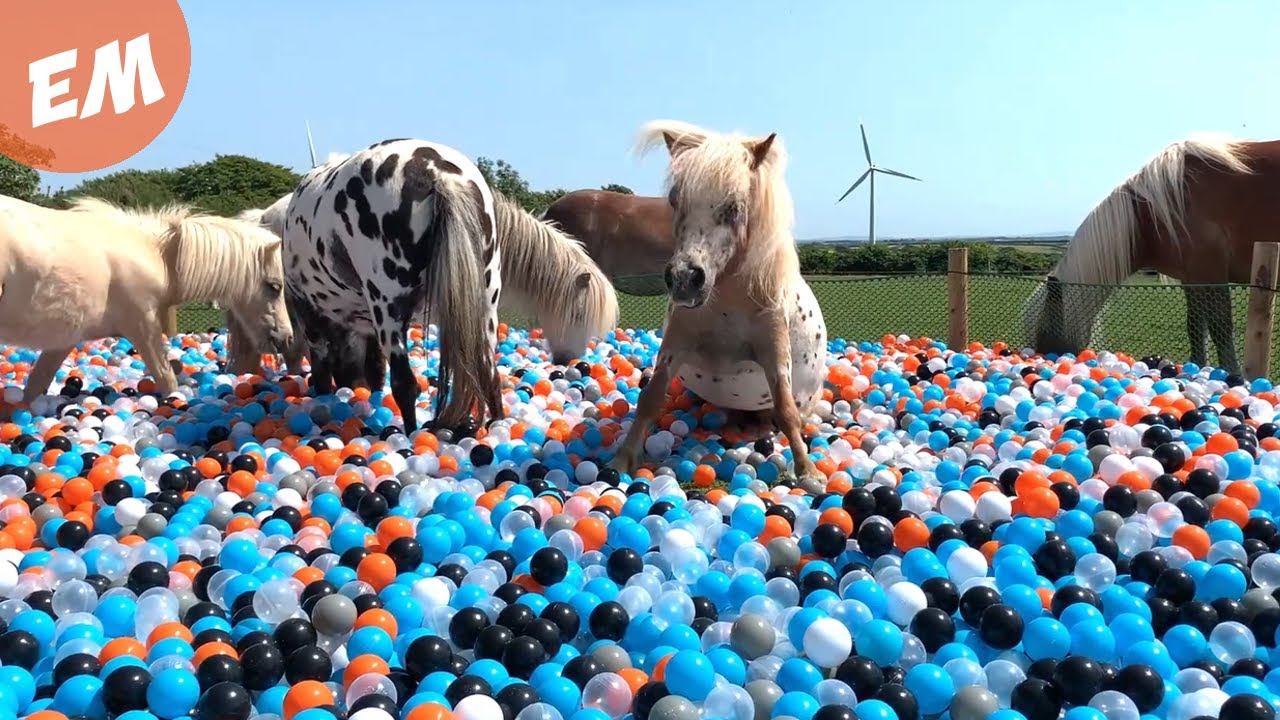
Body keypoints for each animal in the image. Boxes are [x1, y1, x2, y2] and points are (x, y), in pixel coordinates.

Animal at [0, 195, 293, 402]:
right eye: (274, 286)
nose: (285, 338)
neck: (158, 255)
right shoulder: (143, 326)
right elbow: (166, 378)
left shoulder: (65, 340)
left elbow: (35, 386)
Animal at [609, 120, 829, 484]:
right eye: (674, 199)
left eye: (735, 207)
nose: (684, 279)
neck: (727, 303)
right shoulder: (675, 344)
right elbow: (650, 398)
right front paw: (622, 459)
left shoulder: (774, 352)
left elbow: (786, 410)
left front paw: (808, 472)